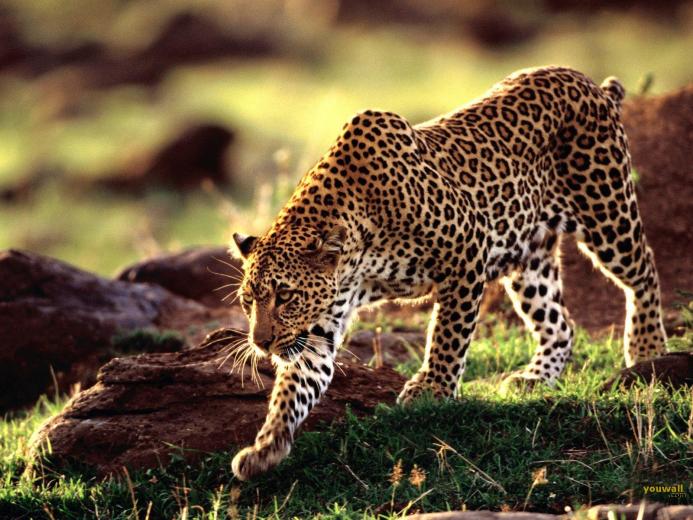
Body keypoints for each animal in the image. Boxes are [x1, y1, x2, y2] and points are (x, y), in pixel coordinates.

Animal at [228, 66, 667, 481]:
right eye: (249, 301)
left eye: (285, 297)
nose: (261, 343)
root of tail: (590, 83)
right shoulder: (319, 326)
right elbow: (296, 387)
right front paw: (265, 447)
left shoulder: (467, 250)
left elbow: (447, 334)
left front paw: (432, 388)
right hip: (529, 258)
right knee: (559, 323)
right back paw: (535, 378)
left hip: (607, 213)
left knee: (644, 271)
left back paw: (647, 350)